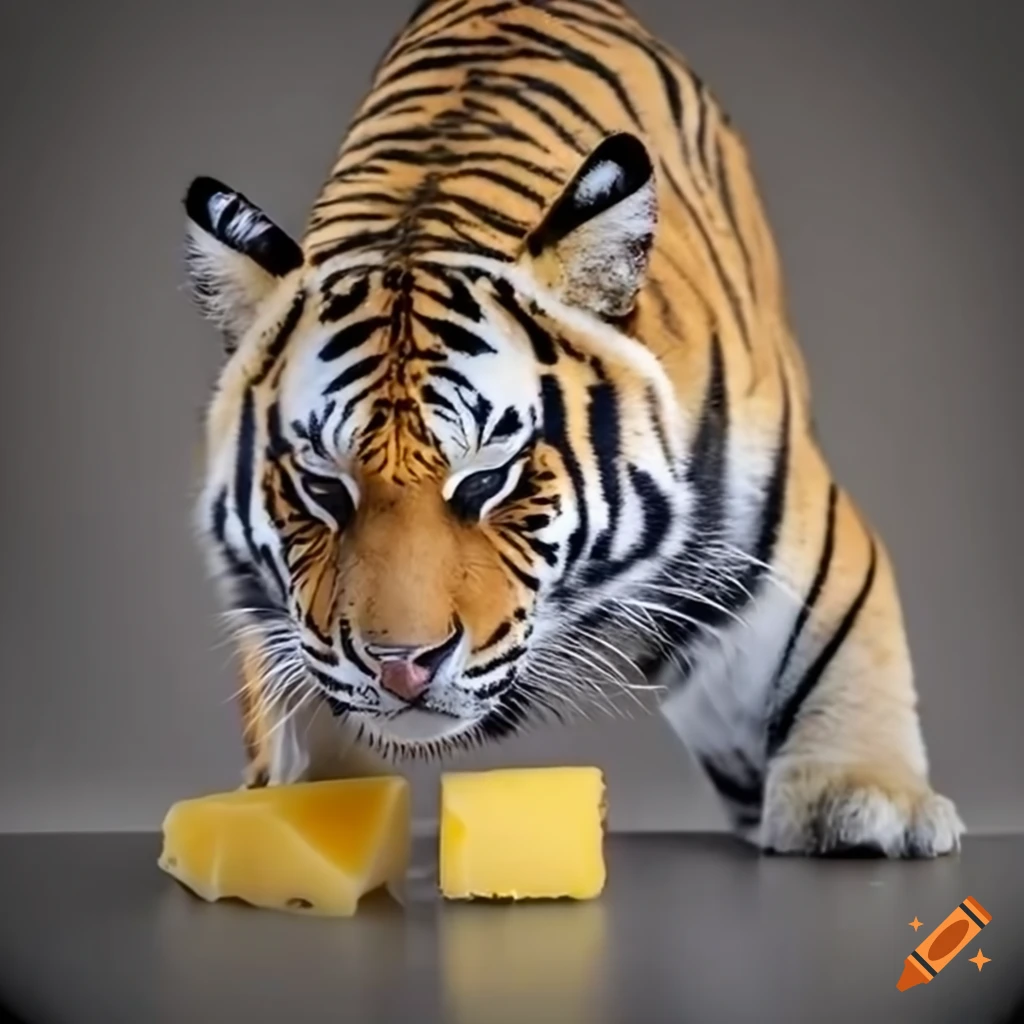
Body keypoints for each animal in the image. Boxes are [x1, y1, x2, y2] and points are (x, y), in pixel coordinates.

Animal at [182, 0, 964, 857]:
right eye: (323, 489)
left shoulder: (777, 547)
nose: (403, 668)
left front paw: (865, 801)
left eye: (488, 480)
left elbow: (842, 649)